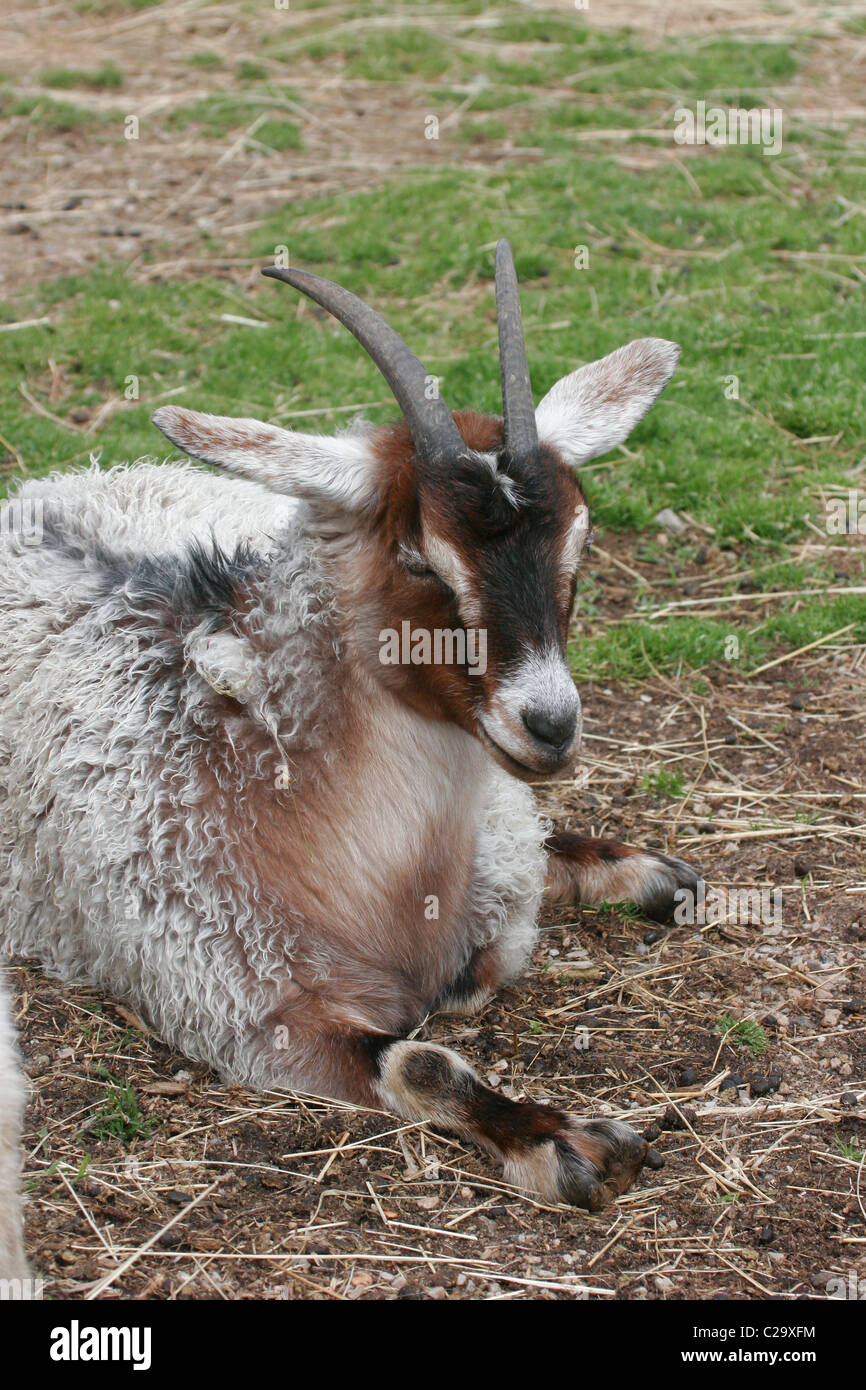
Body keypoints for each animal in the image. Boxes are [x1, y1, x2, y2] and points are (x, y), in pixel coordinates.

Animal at [0, 242, 700, 1209]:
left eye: (582, 540)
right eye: (419, 558)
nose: (550, 723)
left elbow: (485, 957)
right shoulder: (242, 1007)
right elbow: (426, 1058)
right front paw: (565, 1143)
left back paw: (650, 873)